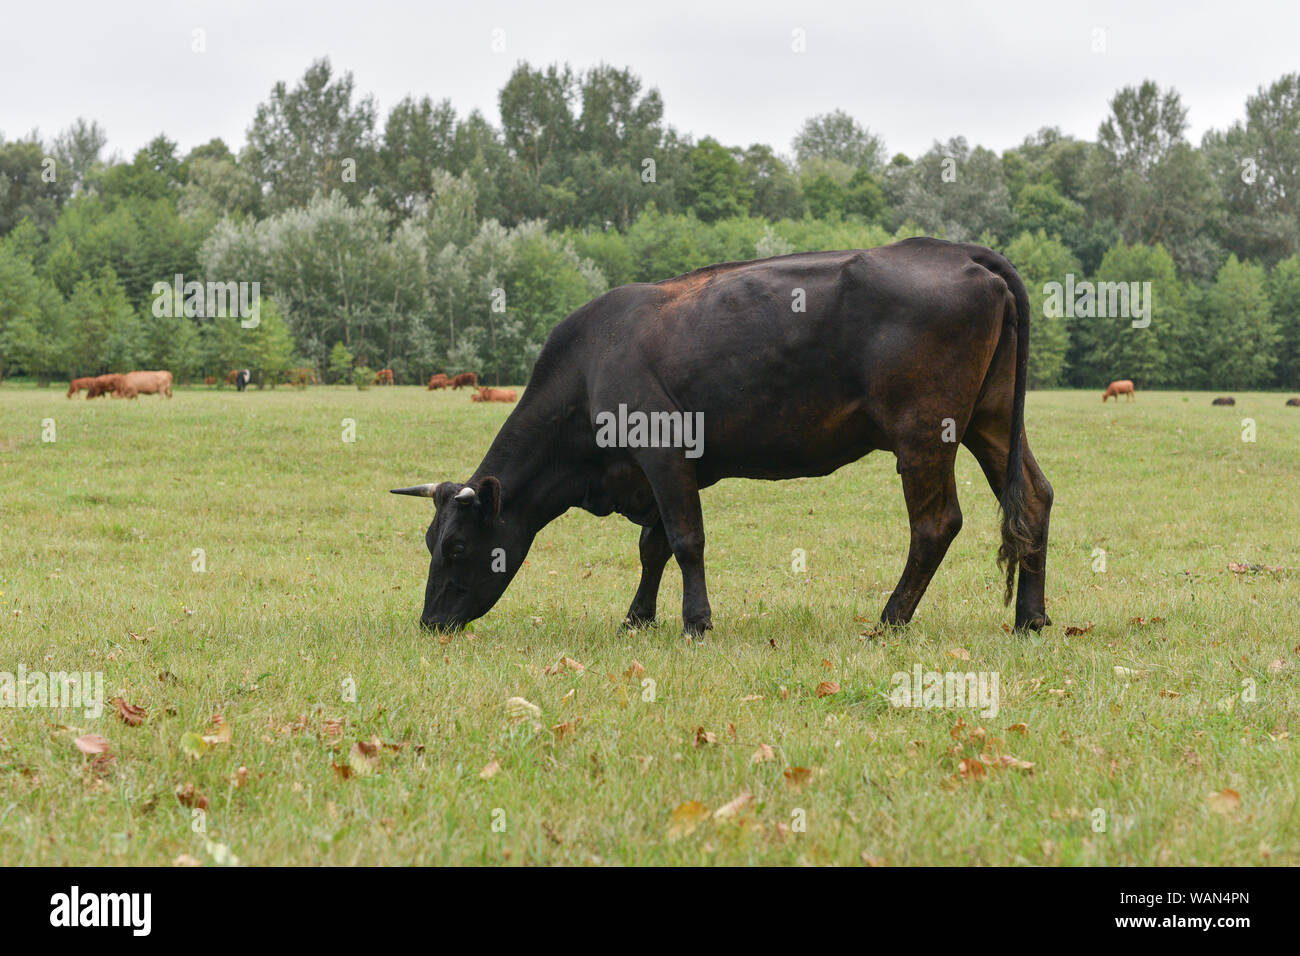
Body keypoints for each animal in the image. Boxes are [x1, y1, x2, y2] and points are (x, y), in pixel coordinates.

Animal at [391, 238, 1054, 637]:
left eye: (457, 547)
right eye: (429, 542)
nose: (429, 622)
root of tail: (955, 250)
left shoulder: (662, 450)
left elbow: (686, 540)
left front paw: (696, 622)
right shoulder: (657, 470)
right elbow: (653, 546)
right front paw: (638, 618)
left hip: (923, 434)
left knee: (936, 523)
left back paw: (889, 620)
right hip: (992, 421)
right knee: (1035, 498)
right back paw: (1032, 618)